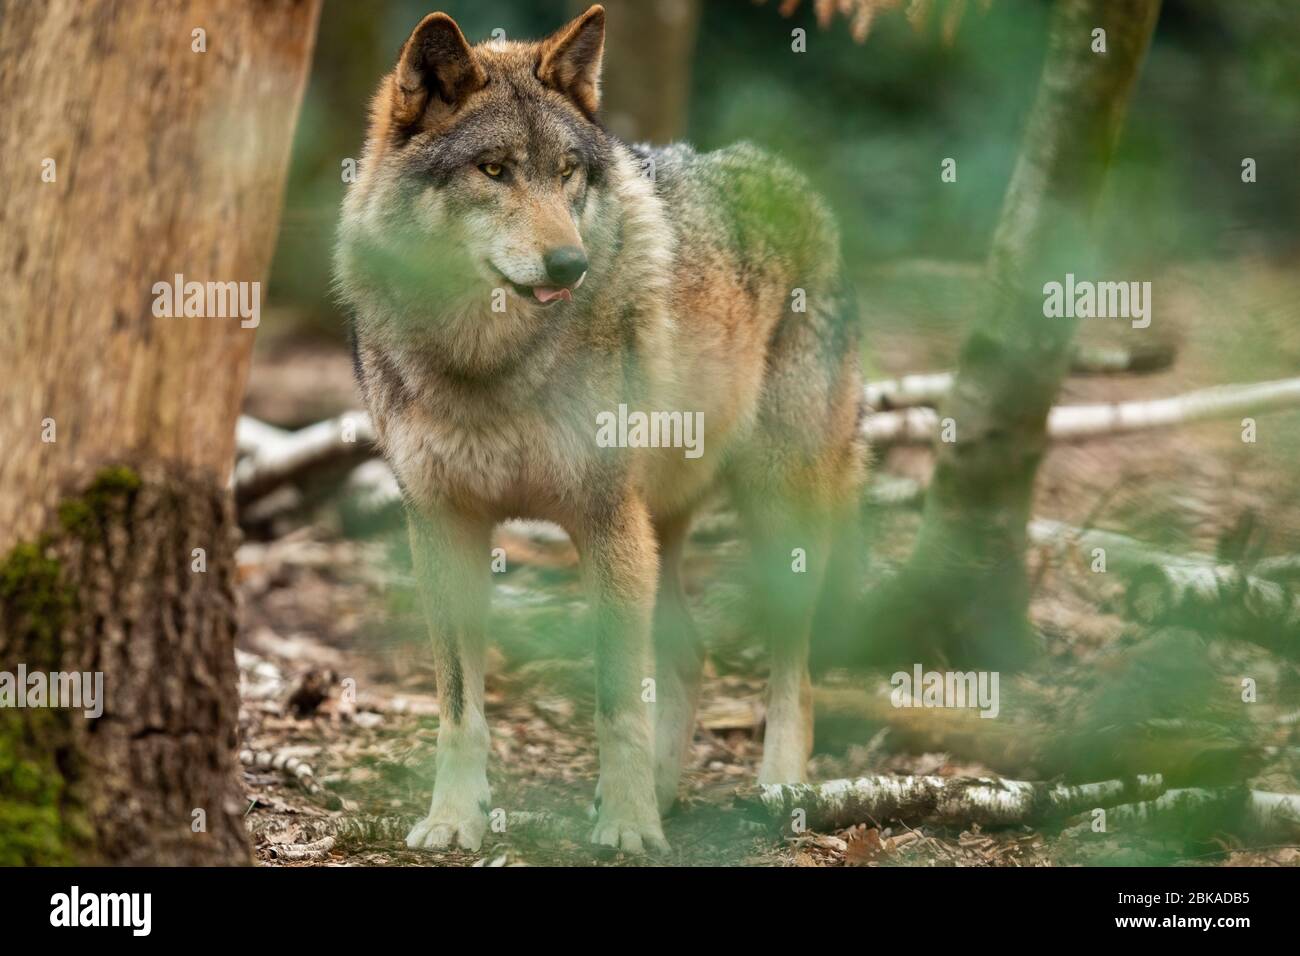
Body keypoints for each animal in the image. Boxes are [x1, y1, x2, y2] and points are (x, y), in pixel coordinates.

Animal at [335, 4, 866, 854]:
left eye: (566, 173)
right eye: (494, 171)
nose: (568, 265)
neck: (487, 366)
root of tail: (795, 185)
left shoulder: (604, 521)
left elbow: (617, 701)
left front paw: (625, 827)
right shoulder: (443, 527)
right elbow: (459, 707)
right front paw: (454, 818)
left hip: (773, 508)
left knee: (795, 665)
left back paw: (779, 786)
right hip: (663, 525)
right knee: (689, 655)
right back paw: (668, 793)